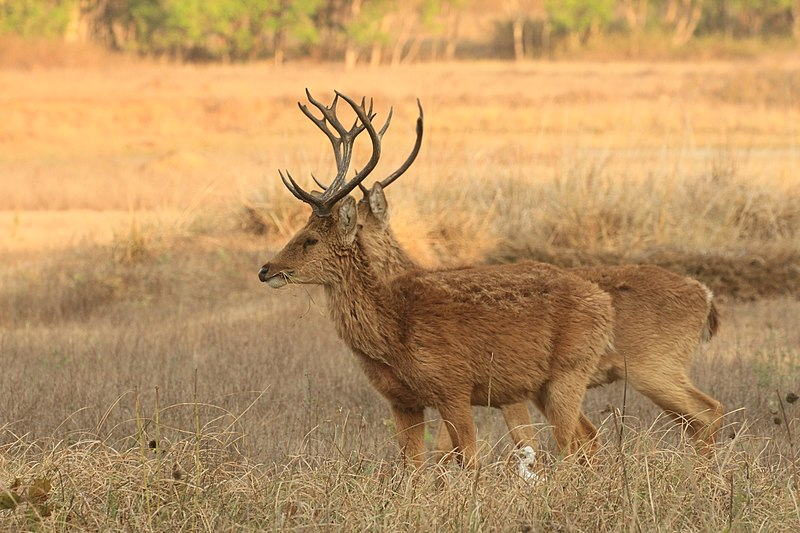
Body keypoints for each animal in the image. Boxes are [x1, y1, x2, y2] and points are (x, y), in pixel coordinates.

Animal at [260, 90, 616, 466]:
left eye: (310, 239)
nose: (265, 269)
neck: (394, 329)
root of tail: (604, 303)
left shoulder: (454, 387)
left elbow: (468, 460)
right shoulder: (402, 401)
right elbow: (413, 467)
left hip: (569, 370)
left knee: (574, 443)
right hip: (544, 385)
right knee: (587, 438)